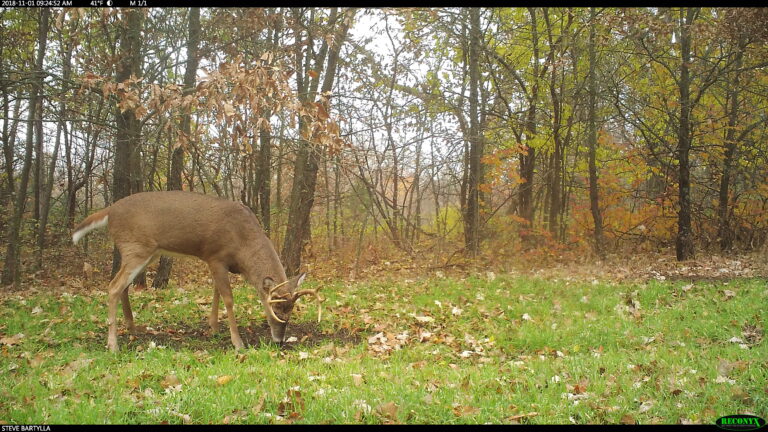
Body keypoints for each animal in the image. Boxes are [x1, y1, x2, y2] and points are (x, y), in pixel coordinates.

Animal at [72, 190, 320, 352]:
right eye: (275, 309)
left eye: (292, 310)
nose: (279, 340)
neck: (244, 244)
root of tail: (109, 211)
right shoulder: (215, 256)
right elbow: (228, 298)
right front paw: (237, 342)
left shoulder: (219, 263)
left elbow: (216, 292)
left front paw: (214, 327)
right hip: (135, 247)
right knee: (114, 286)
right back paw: (113, 345)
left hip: (145, 253)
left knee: (123, 285)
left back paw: (132, 330)